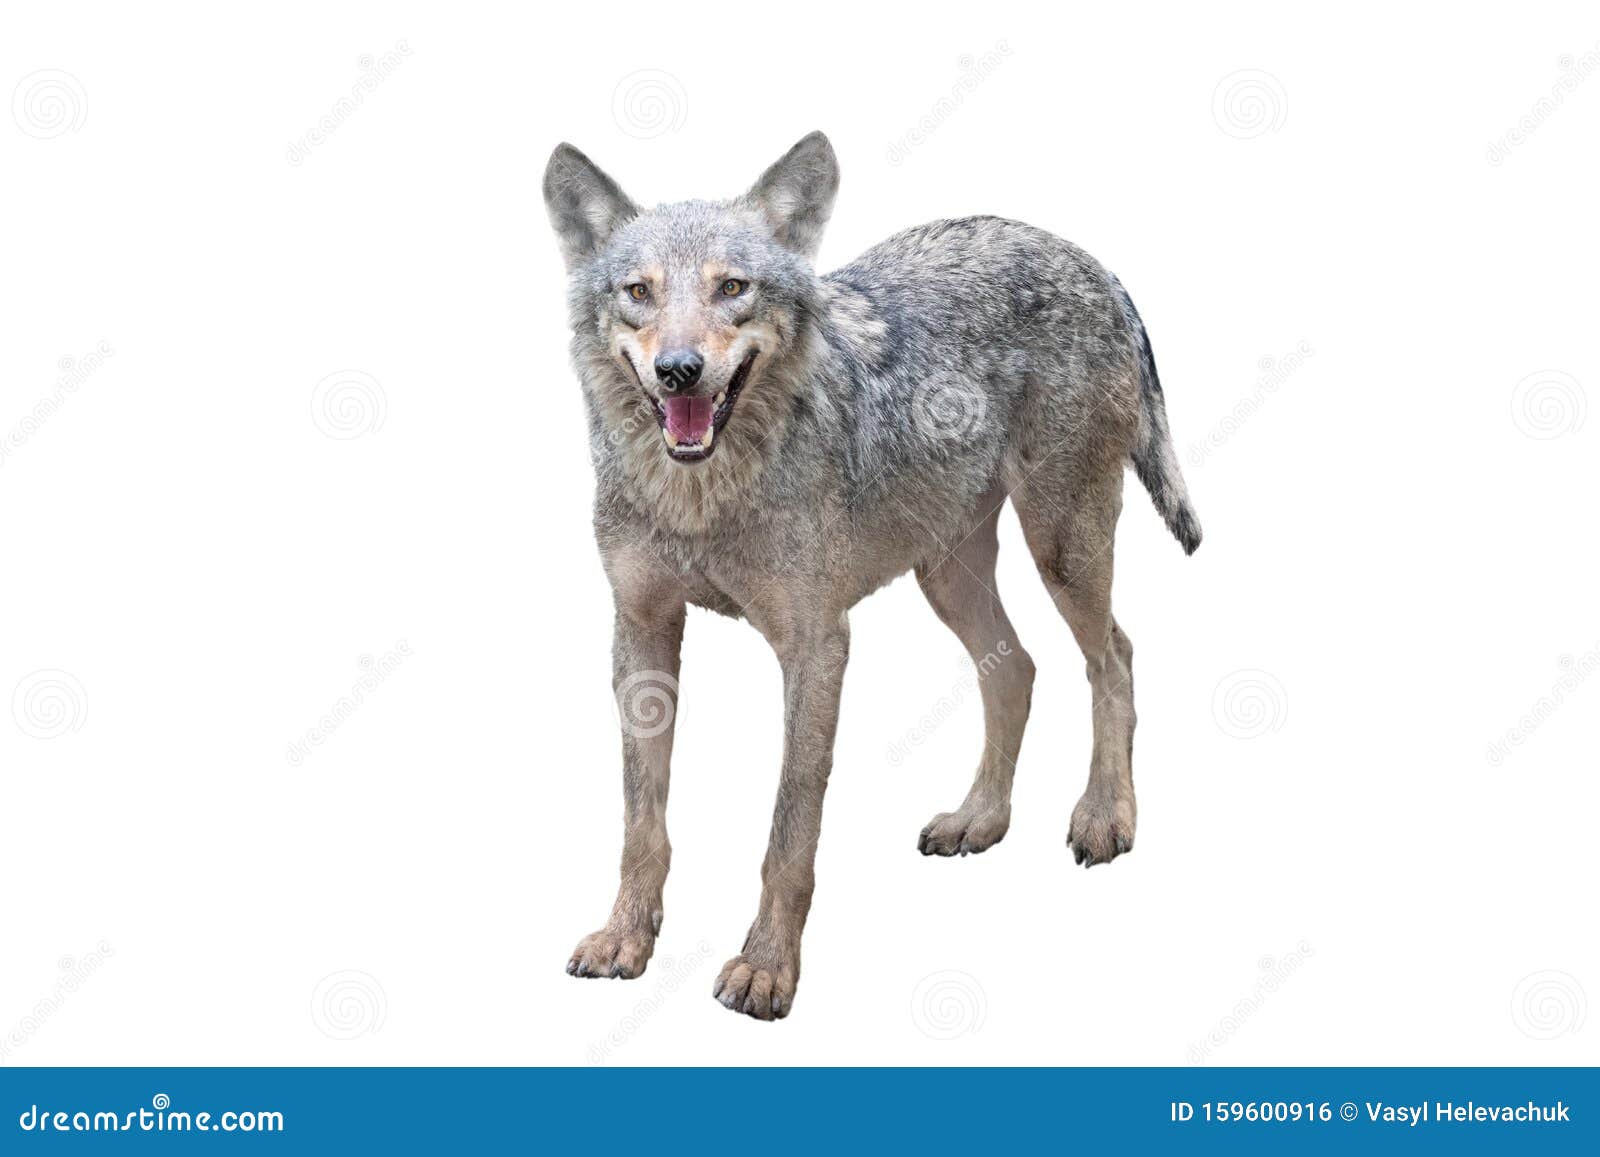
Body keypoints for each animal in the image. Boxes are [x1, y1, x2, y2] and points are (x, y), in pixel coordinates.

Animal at [543, 131, 1200, 1020]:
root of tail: (1092, 260)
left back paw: (1105, 817)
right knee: (1018, 668)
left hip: (1062, 545)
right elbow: (641, 823)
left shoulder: (817, 645)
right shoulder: (640, 634)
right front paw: (626, 938)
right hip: (946, 573)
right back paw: (979, 818)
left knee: (1115, 657)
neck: (701, 499)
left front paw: (765, 970)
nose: (679, 370)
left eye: (732, 288)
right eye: (638, 292)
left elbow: (789, 831)